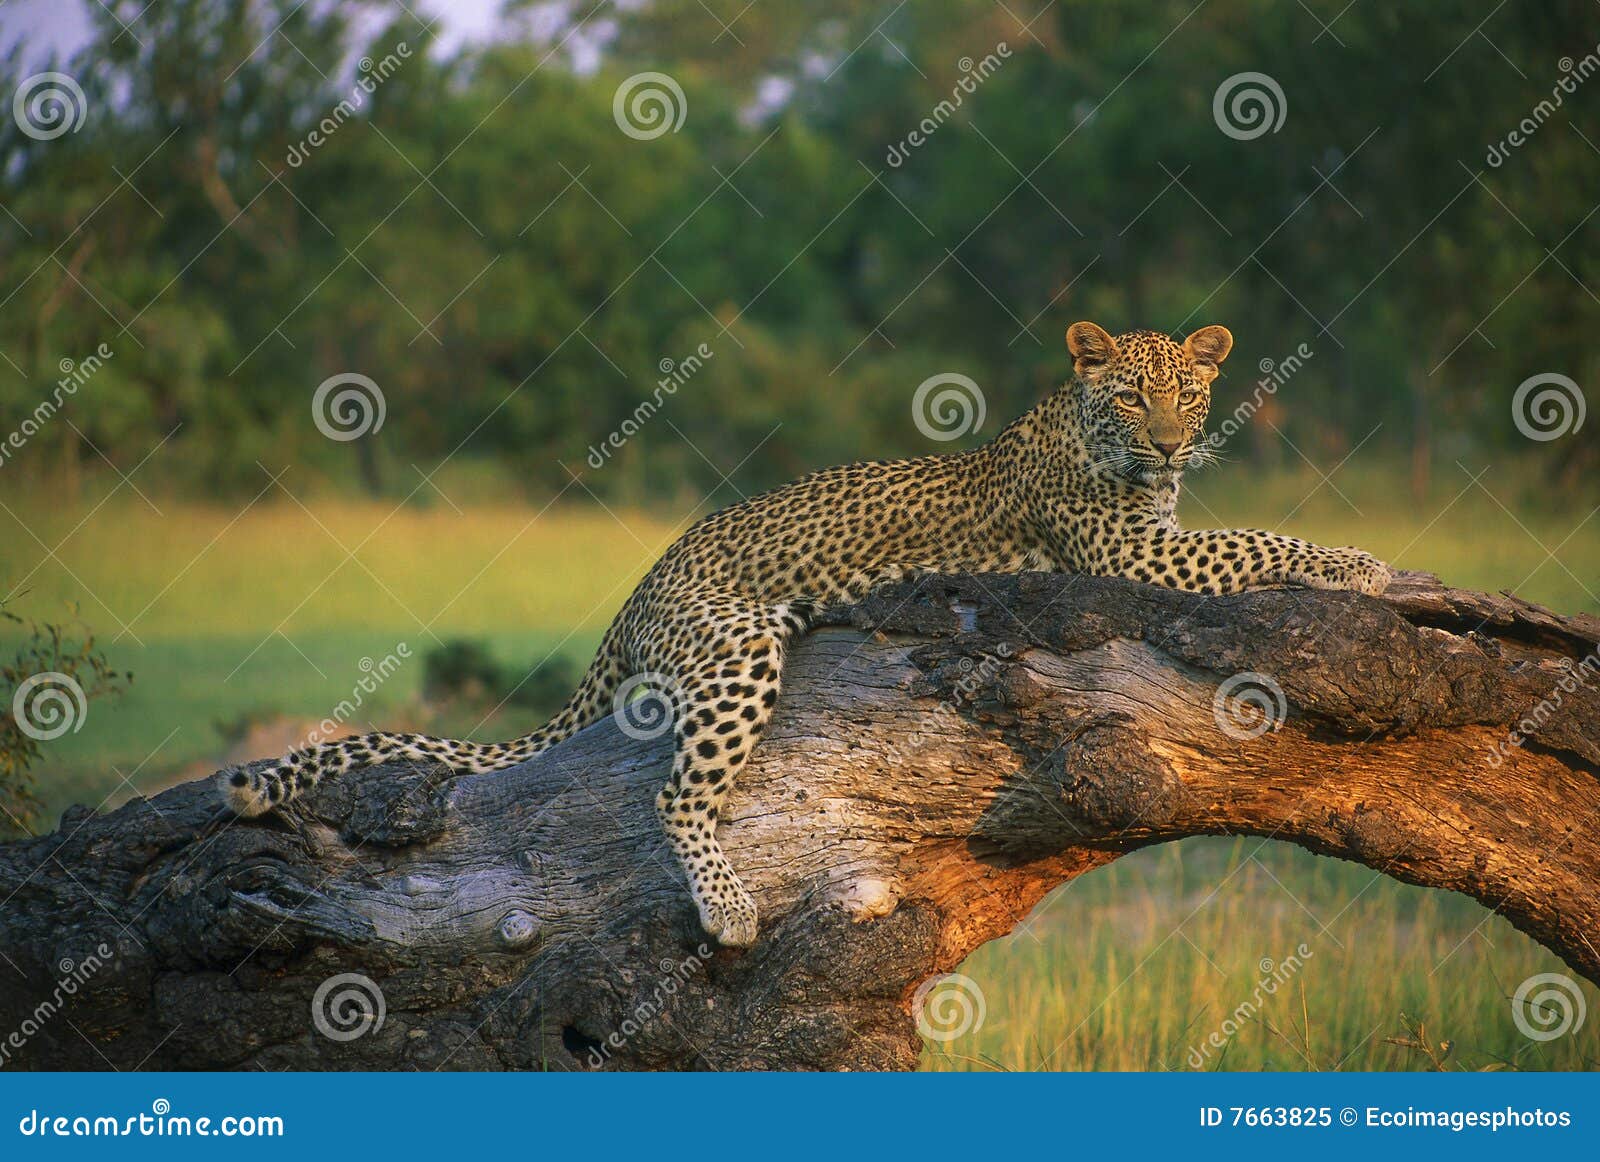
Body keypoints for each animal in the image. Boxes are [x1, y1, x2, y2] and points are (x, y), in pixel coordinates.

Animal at [221, 320, 1392, 948]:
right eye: (1134, 394)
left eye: (1189, 391)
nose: (1170, 443)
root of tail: (640, 587)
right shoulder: (1134, 555)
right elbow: (1254, 541)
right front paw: (1366, 566)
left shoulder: (1156, 537)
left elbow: (1245, 534)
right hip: (736, 647)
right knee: (675, 793)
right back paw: (730, 908)